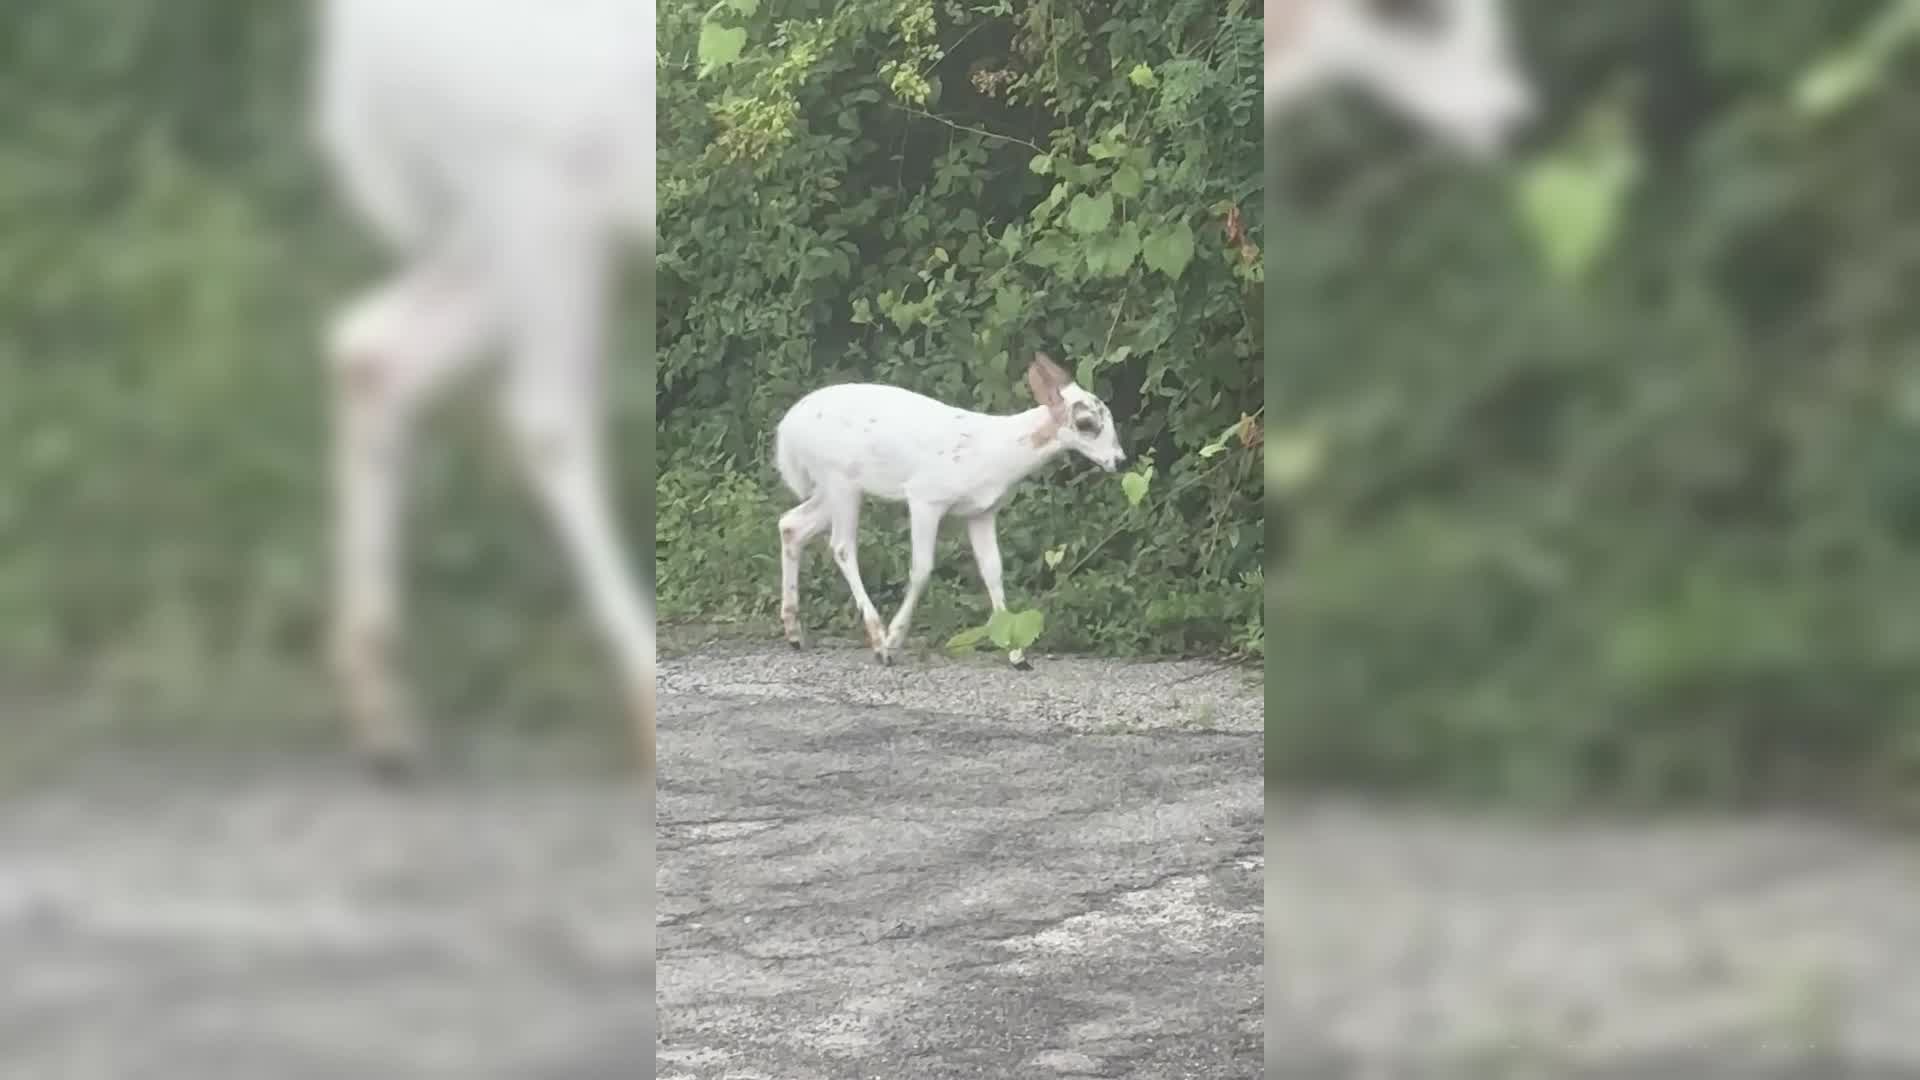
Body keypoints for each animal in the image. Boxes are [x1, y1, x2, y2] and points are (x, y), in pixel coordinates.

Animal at [308, 0, 656, 781]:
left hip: (508, 221)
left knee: (371, 349)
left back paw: (382, 716)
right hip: (535, 189)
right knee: (544, 420)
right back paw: (642, 696)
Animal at [774, 353, 1125, 666]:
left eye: (1109, 415)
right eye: (1085, 423)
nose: (1119, 460)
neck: (997, 453)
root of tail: (786, 430)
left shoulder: (981, 512)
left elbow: (993, 571)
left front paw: (1016, 654)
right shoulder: (925, 498)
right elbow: (921, 569)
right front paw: (894, 642)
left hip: (833, 488)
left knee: (791, 524)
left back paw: (794, 633)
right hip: (839, 478)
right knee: (842, 546)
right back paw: (877, 639)